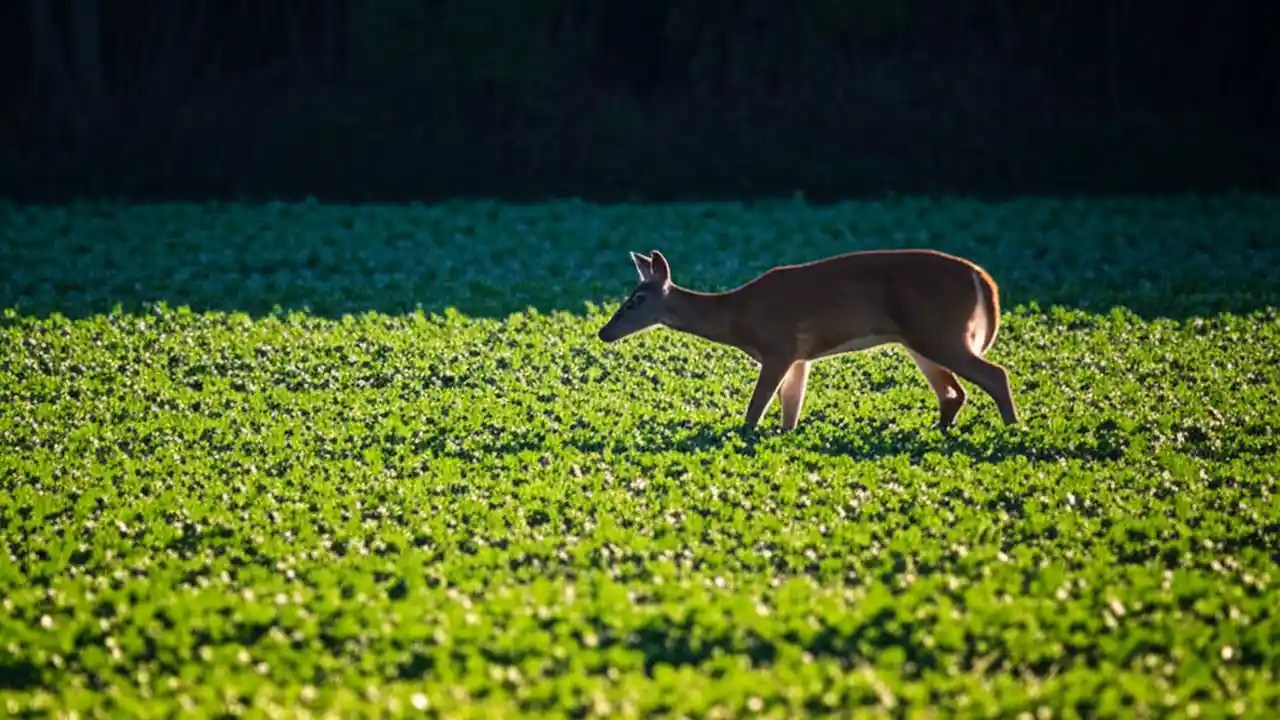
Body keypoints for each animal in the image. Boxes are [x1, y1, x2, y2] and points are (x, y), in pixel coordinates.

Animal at [597, 249, 1018, 432]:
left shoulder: (779, 346)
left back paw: (1013, 431)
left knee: (995, 374)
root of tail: (983, 278)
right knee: (954, 392)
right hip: (920, 339)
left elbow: (757, 406)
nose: (604, 332)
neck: (736, 317)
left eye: (635, 300)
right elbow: (791, 410)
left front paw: (744, 437)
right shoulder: (800, 356)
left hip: (940, 331)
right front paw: (784, 438)